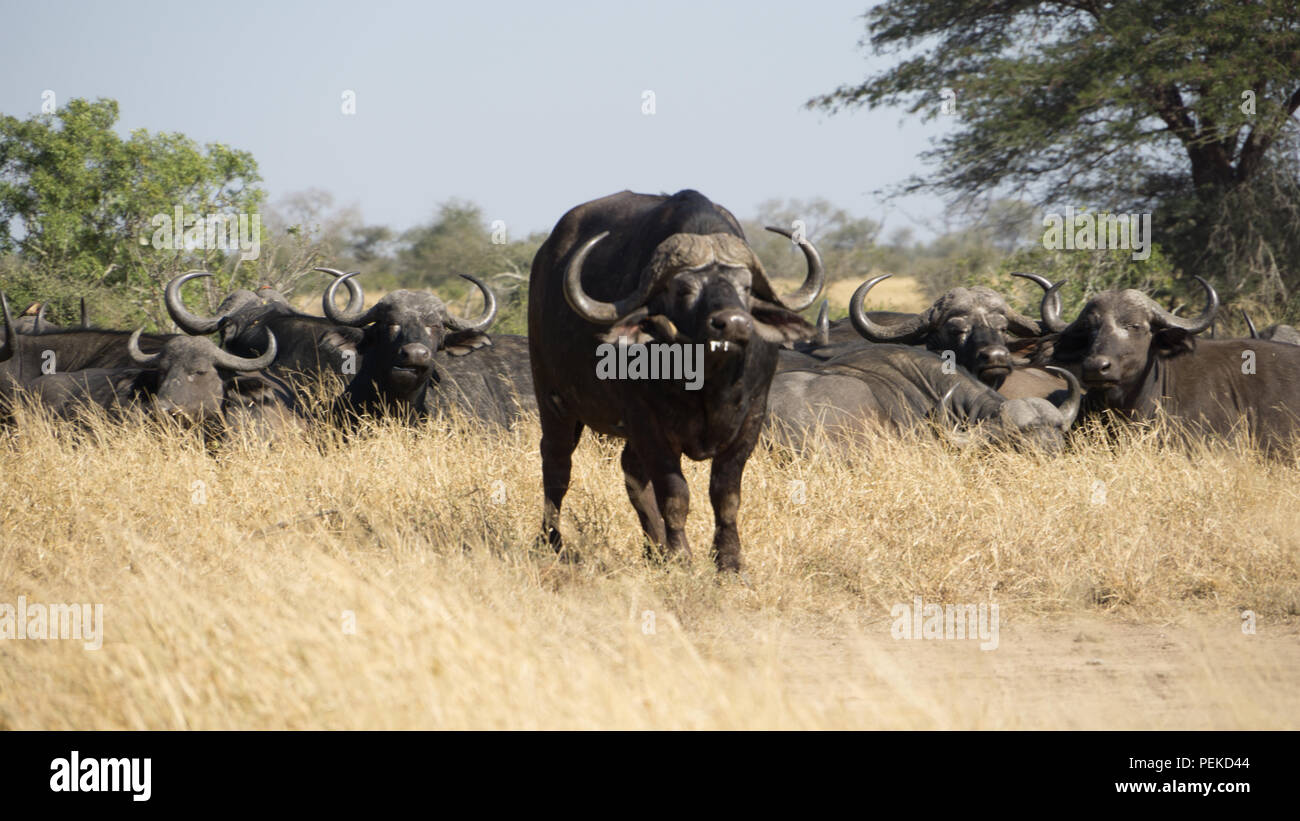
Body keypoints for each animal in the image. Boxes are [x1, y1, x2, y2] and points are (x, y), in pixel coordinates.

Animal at [529, 189, 824, 571]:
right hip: (554, 400)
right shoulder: (648, 423)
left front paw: (729, 561)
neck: (707, 384)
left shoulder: (751, 421)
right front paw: (682, 556)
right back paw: (551, 542)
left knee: (631, 471)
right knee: (557, 465)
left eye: (745, 287)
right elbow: (674, 492)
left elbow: (726, 495)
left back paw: (655, 548)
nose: (734, 323)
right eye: (684, 289)